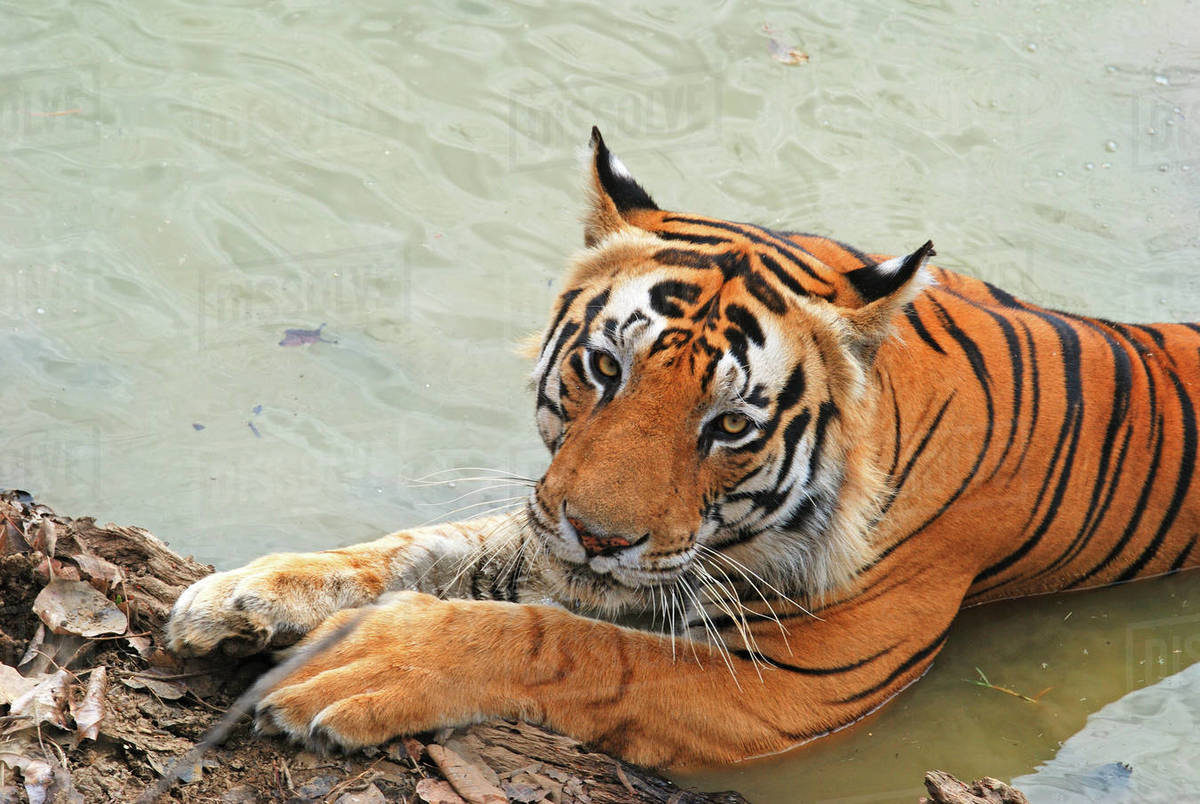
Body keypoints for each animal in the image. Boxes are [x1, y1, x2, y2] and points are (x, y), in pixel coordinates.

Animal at [166, 128, 1200, 768]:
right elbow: (427, 546)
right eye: (602, 367)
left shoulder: (800, 680)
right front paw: (251, 594)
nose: (597, 539)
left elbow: (568, 643)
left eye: (730, 426)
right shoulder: (547, 518)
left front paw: (364, 663)